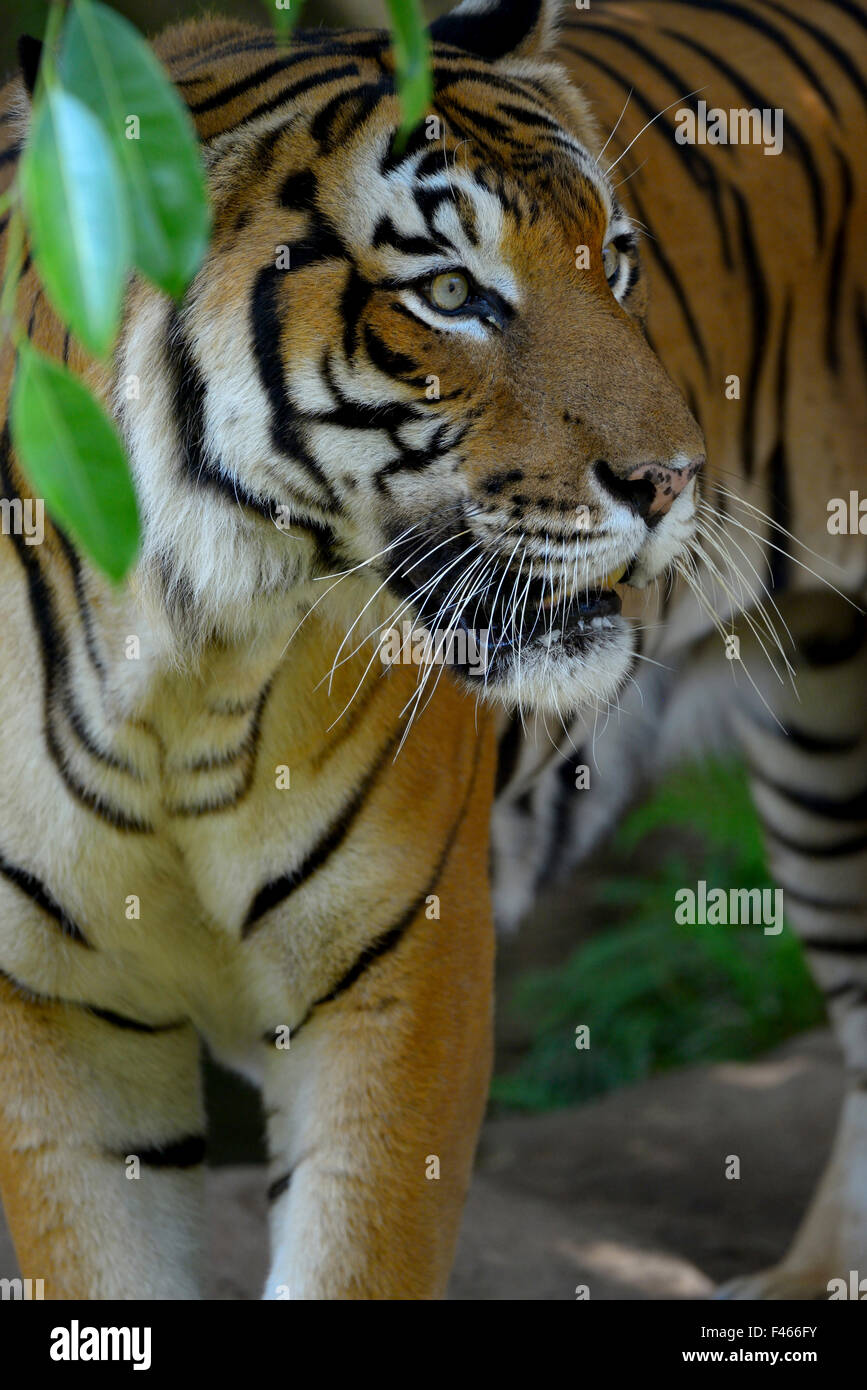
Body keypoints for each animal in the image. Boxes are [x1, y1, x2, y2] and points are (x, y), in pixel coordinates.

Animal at [0, 0, 861, 1303]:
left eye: (615, 261)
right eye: (453, 291)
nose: (673, 481)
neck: (183, 671)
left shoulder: (401, 982)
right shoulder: (51, 1021)